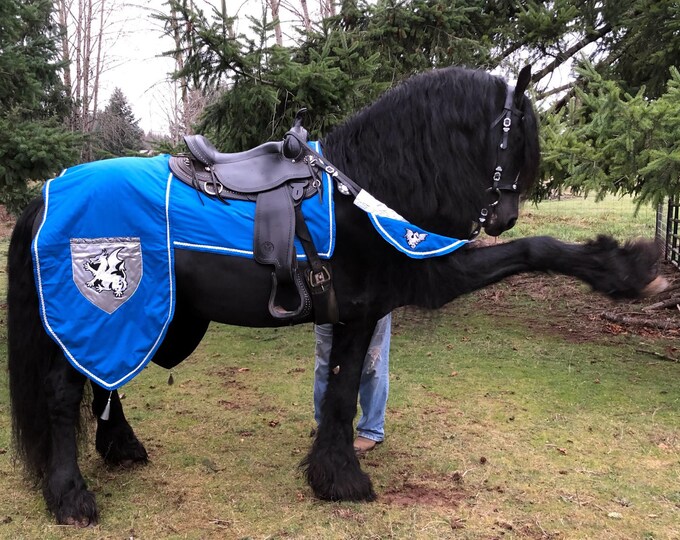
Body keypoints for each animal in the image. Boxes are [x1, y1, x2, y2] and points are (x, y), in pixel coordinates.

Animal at [7, 65, 665, 526]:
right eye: (513, 136)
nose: (502, 217)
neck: (366, 193)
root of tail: (49, 190)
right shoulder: (427, 279)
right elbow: (536, 250)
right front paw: (627, 270)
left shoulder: (361, 312)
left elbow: (342, 391)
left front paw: (331, 474)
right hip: (104, 314)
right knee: (66, 395)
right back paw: (70, 496)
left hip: (140, 319)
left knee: (103, 384)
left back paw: (121, 447)